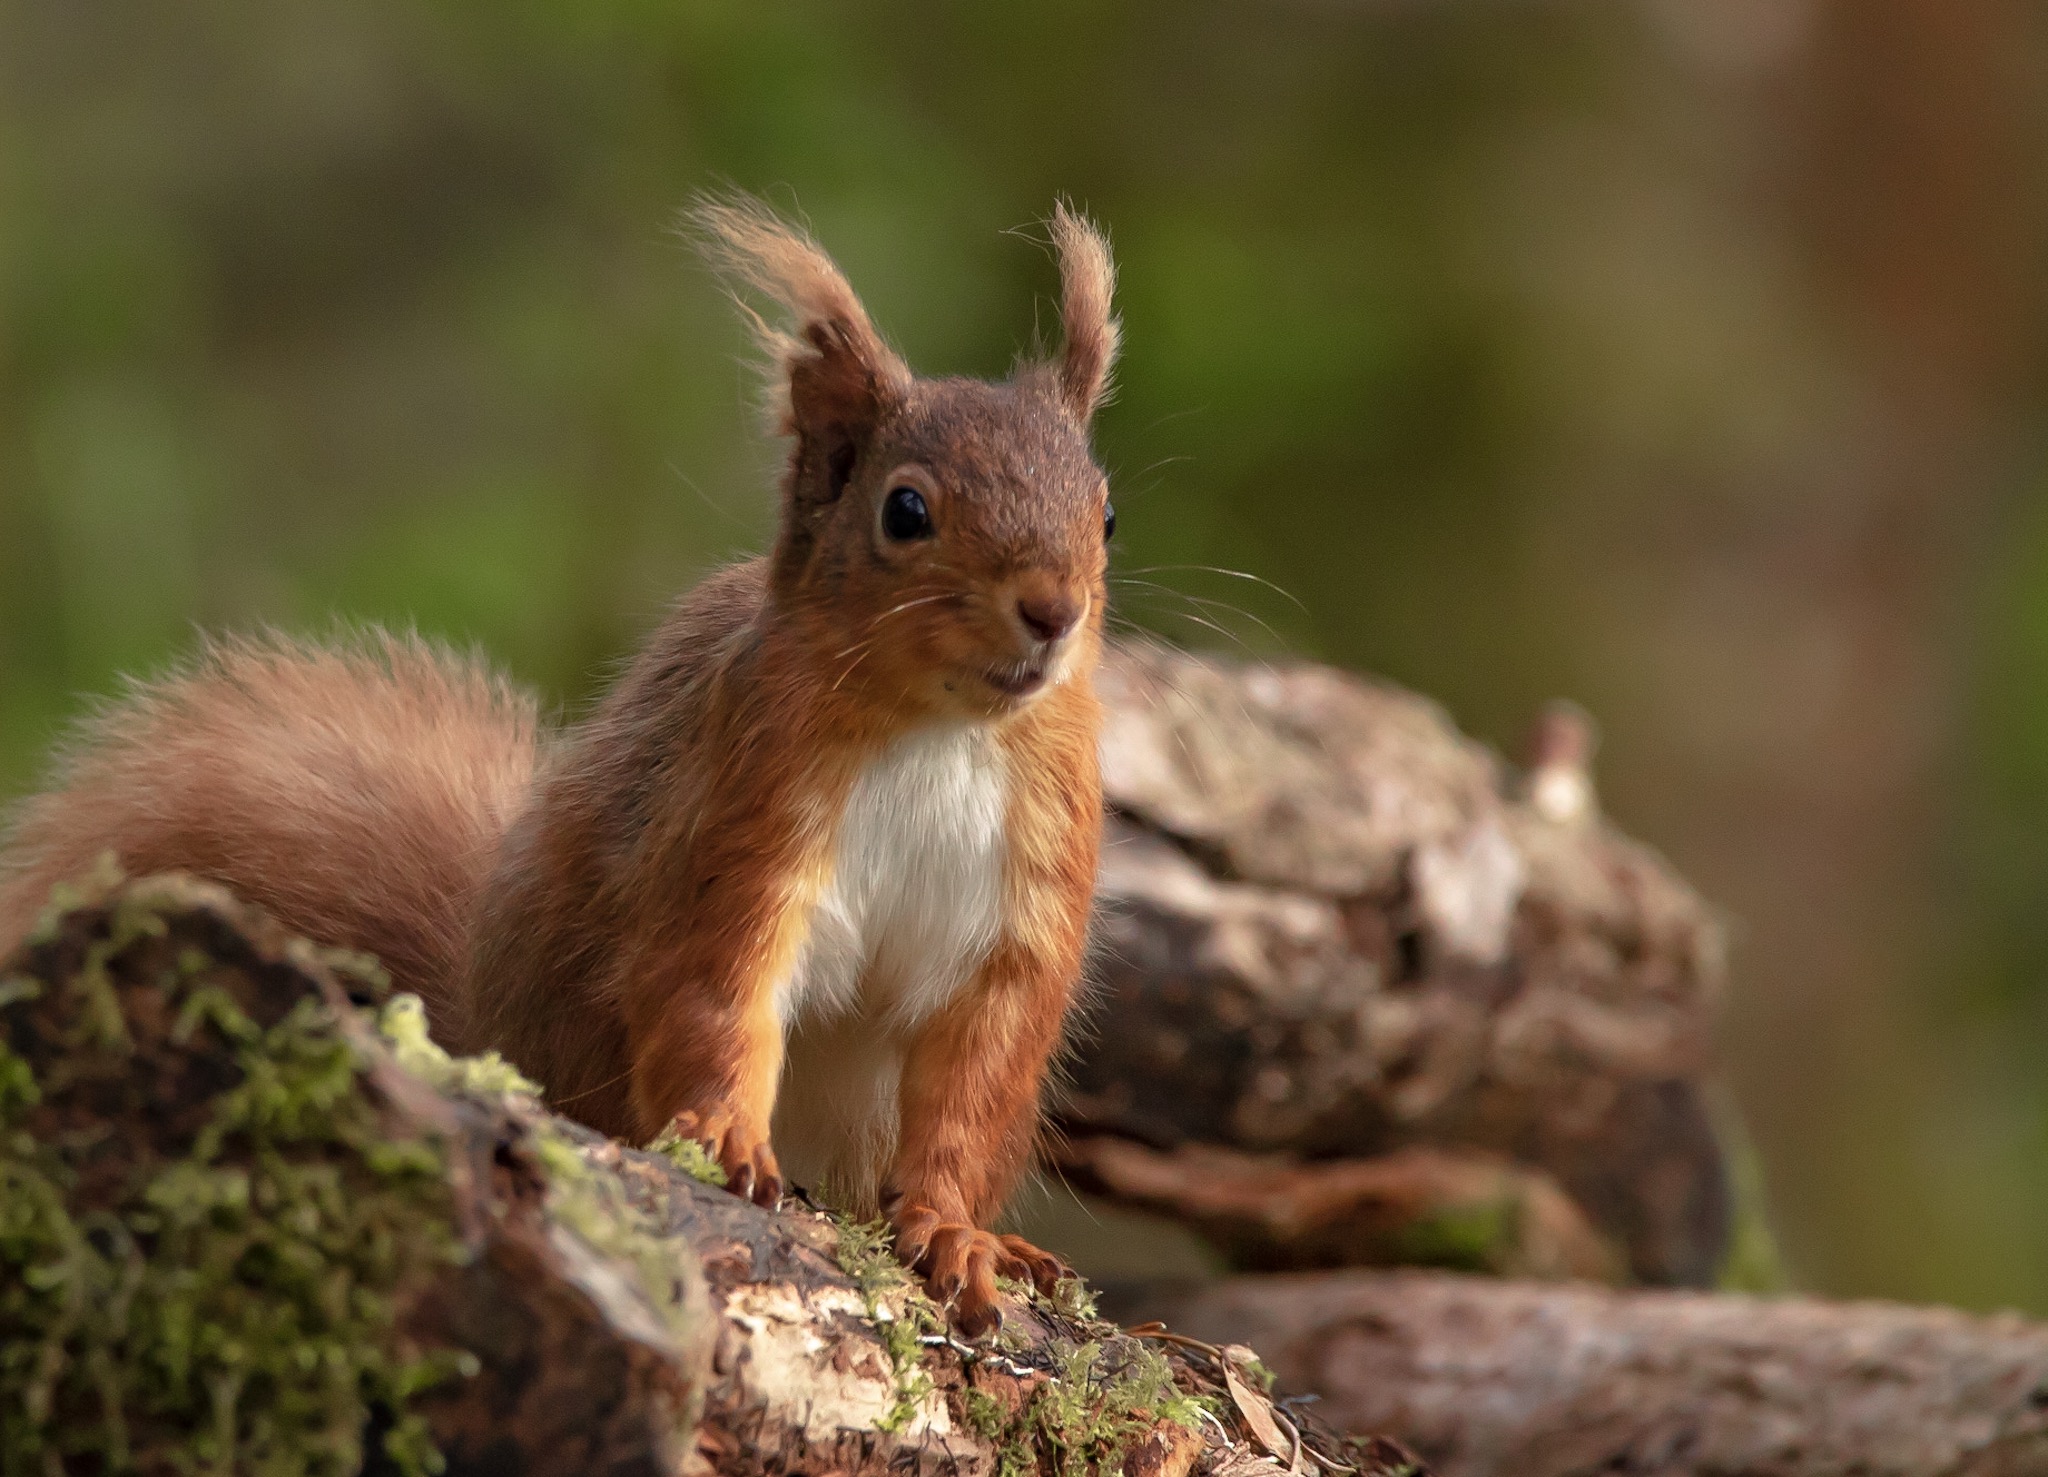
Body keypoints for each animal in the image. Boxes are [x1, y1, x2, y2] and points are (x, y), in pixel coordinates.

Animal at [0, 196, 1122, 1335]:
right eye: (905, 511)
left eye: (1106, 511)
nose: (1052, 611)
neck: (942, 729)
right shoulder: (737, 820)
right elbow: (715, 990)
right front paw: (721, 1137)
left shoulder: (1025, 909)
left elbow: (972, 1089)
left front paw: (956, 1232)